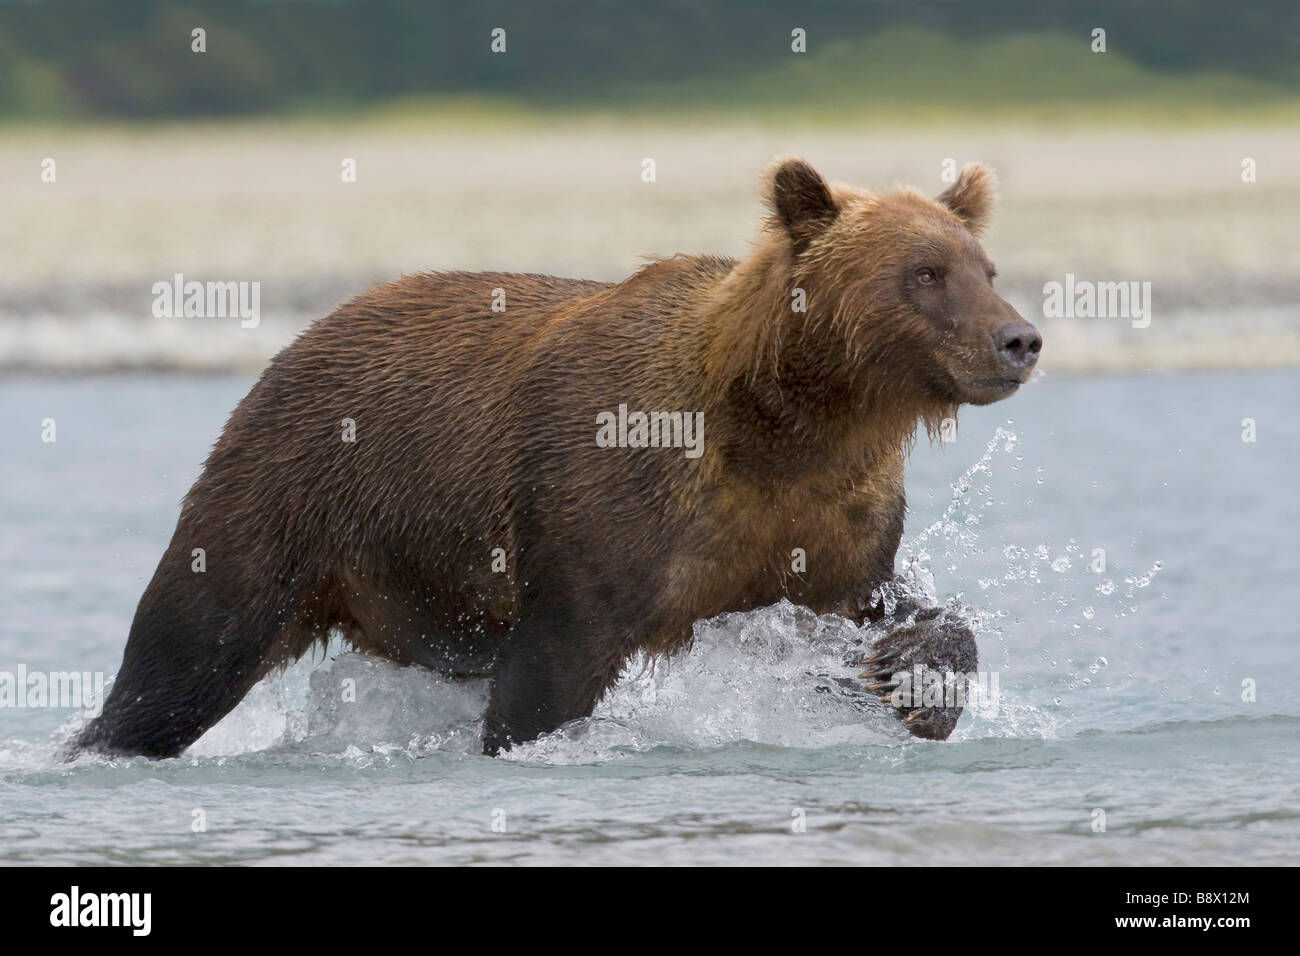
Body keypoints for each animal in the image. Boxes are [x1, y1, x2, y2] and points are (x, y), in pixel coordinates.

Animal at [73, 157, 1040, 759]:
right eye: (925, 273)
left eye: (984, 266)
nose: (1019, 338)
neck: (785, 421)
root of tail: (299, 340)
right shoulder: (617, 500)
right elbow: (558, 662)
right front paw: (531, 738)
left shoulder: (827, 517)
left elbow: (872, 609)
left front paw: (915, 675)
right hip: (288, 487)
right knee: (189, 650)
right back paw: (103, 741)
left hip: (418, 581)